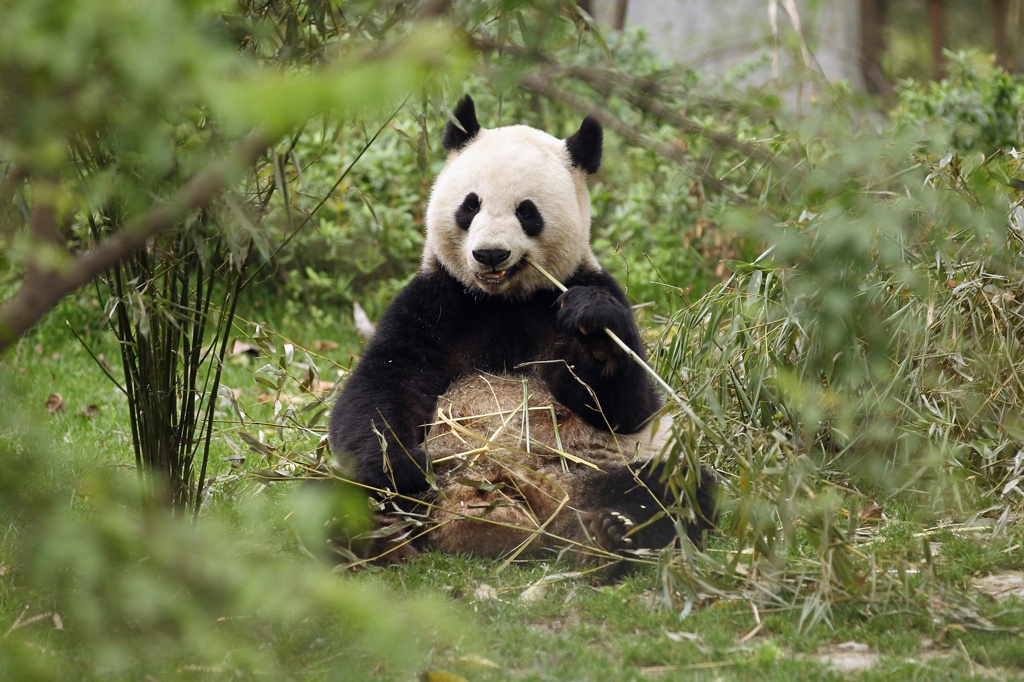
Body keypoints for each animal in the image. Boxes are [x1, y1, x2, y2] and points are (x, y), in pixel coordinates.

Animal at [328, 95, 716, 560]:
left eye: (526, 211)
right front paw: (403, 466)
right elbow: (383, 384)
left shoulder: (576, 287)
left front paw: (594, 338)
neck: (503, 299)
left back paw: (605, 536)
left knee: (672, 489)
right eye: (470, 205)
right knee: (330, 494)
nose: (490, 254)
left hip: (602, 468)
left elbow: (629, 409)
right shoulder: (438, 301)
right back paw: (375, 536)